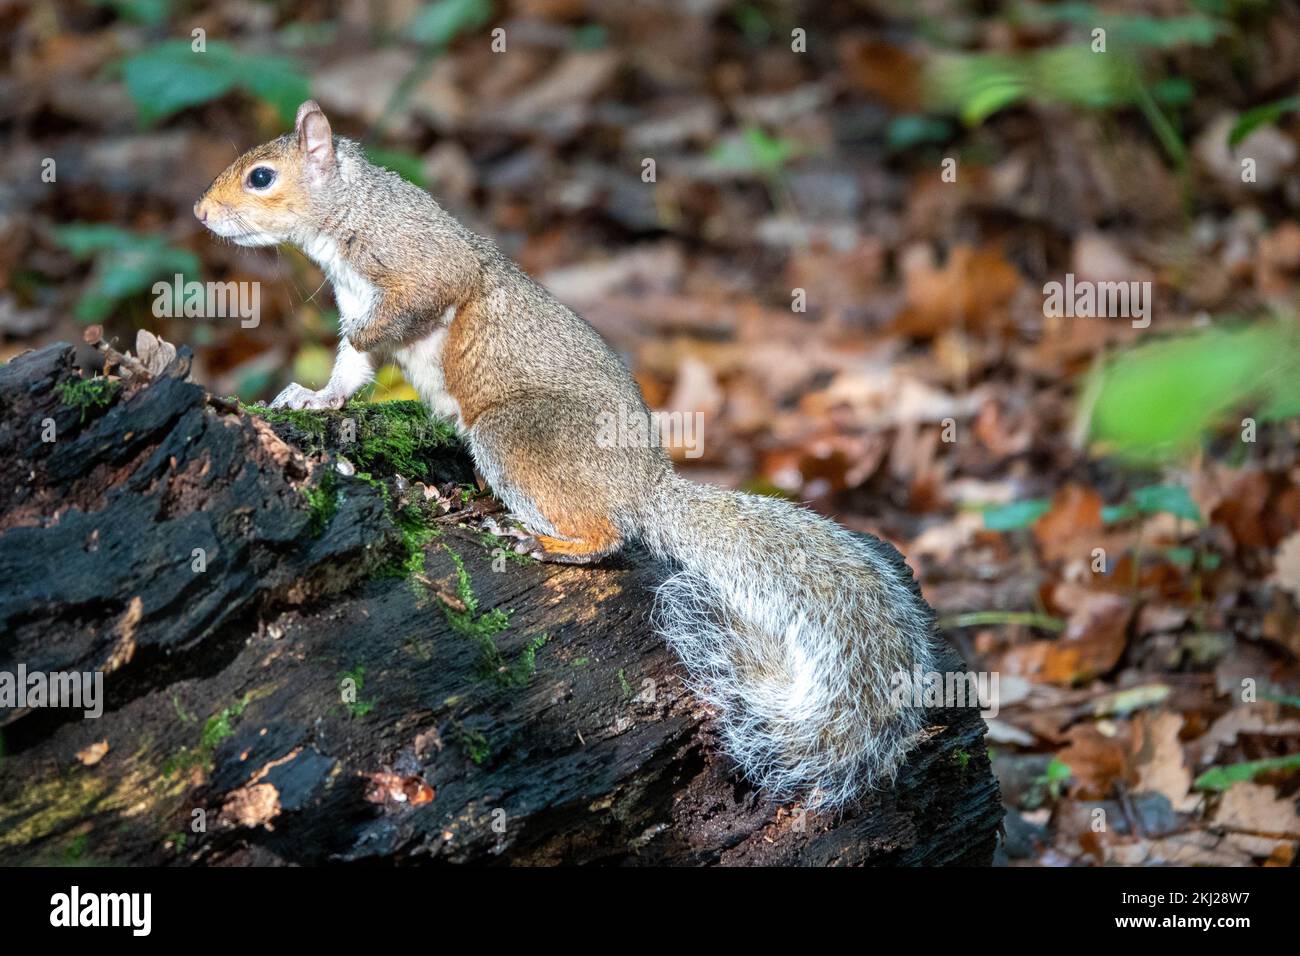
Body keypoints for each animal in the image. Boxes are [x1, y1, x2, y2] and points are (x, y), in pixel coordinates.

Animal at [195, 100, 938, 808]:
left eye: (261, 177)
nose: (201, 213)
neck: (349, 213)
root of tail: (645, 487)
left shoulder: (418, 261)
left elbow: (411, 306)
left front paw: (350, 341)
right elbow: (351, 373)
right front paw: (312, 398)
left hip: (516, 436)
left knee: (605, 535)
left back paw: (542, 539)